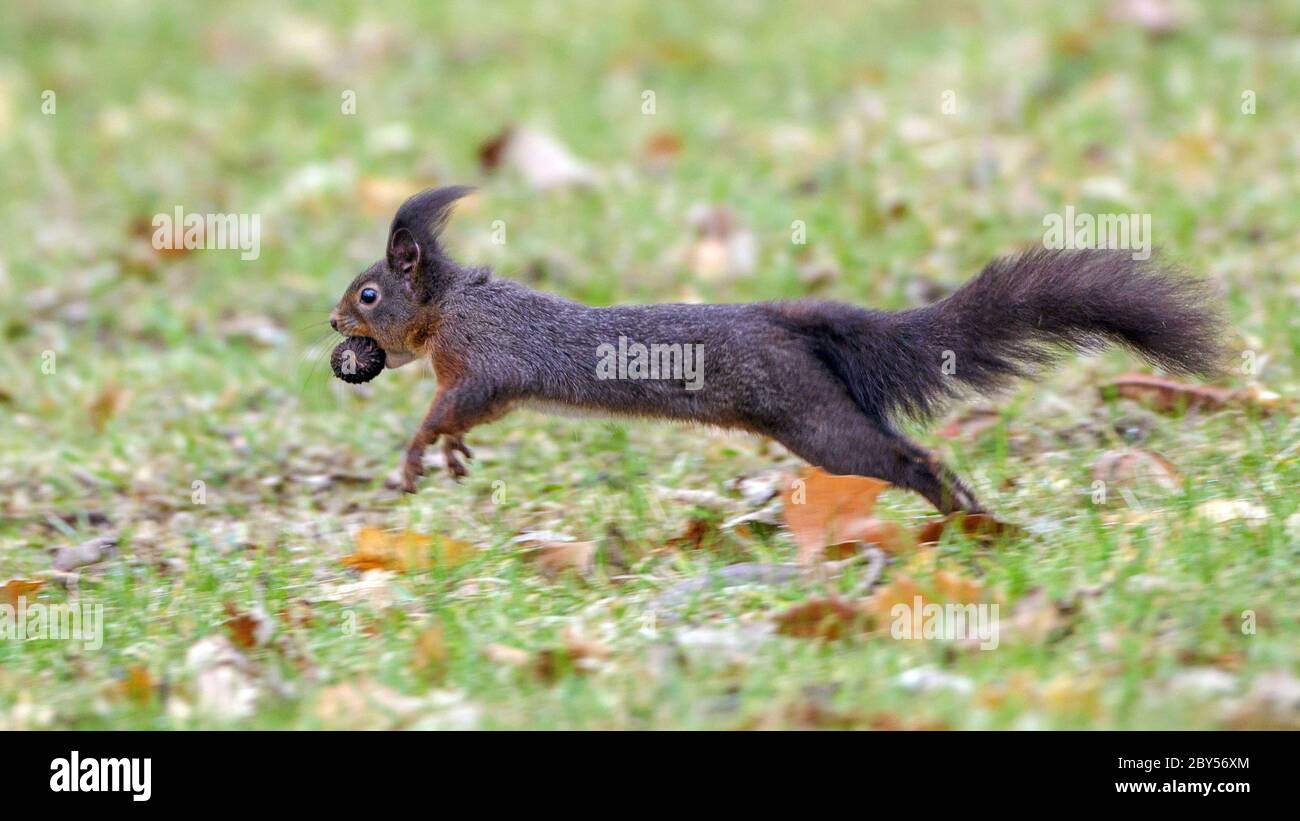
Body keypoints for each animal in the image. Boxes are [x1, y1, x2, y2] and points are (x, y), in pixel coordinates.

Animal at [329, 186, 1224, 513]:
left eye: (369, 294)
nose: (335, 325)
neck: (449, 307)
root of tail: (791, 322)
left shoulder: (486, 357)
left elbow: (454, 403)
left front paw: (418, 450)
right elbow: (467, 416)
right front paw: (450, 453)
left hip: (809, 418)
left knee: (902, 457)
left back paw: (961, 513)